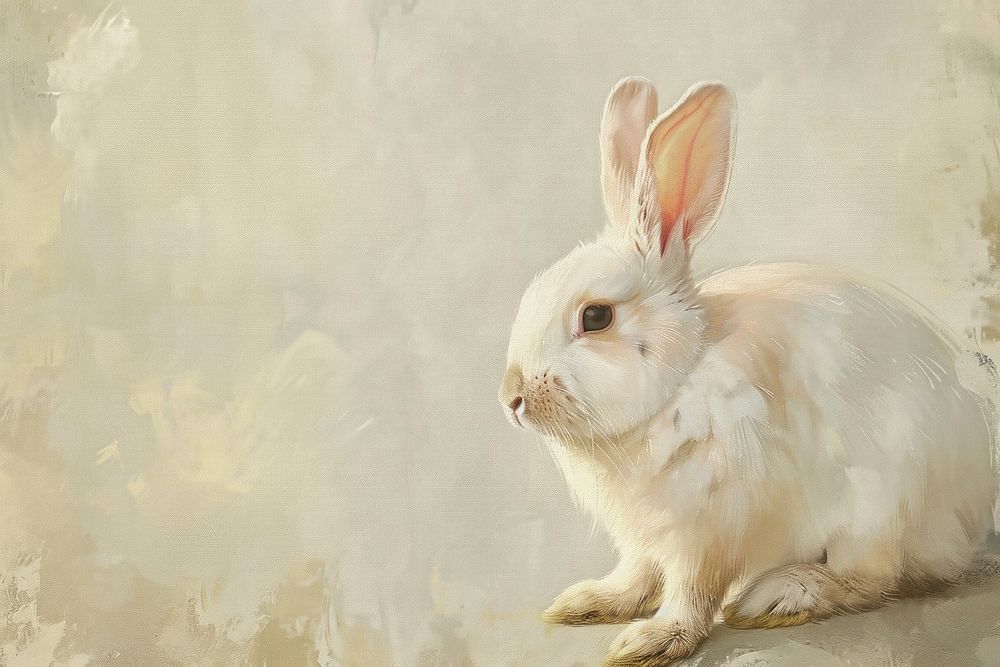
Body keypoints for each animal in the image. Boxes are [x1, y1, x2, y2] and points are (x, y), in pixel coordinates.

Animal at [498, 77, 997, 666]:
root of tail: (968, 524)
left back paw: (783, 594)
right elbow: (637, 572)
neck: (682, 374)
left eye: (595, 317)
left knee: (873, 580)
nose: (510, 398)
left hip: (880, 510)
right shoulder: (647, 533)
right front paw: (589, 601)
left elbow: (692, 590)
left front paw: (652, 640)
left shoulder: (710, 526)